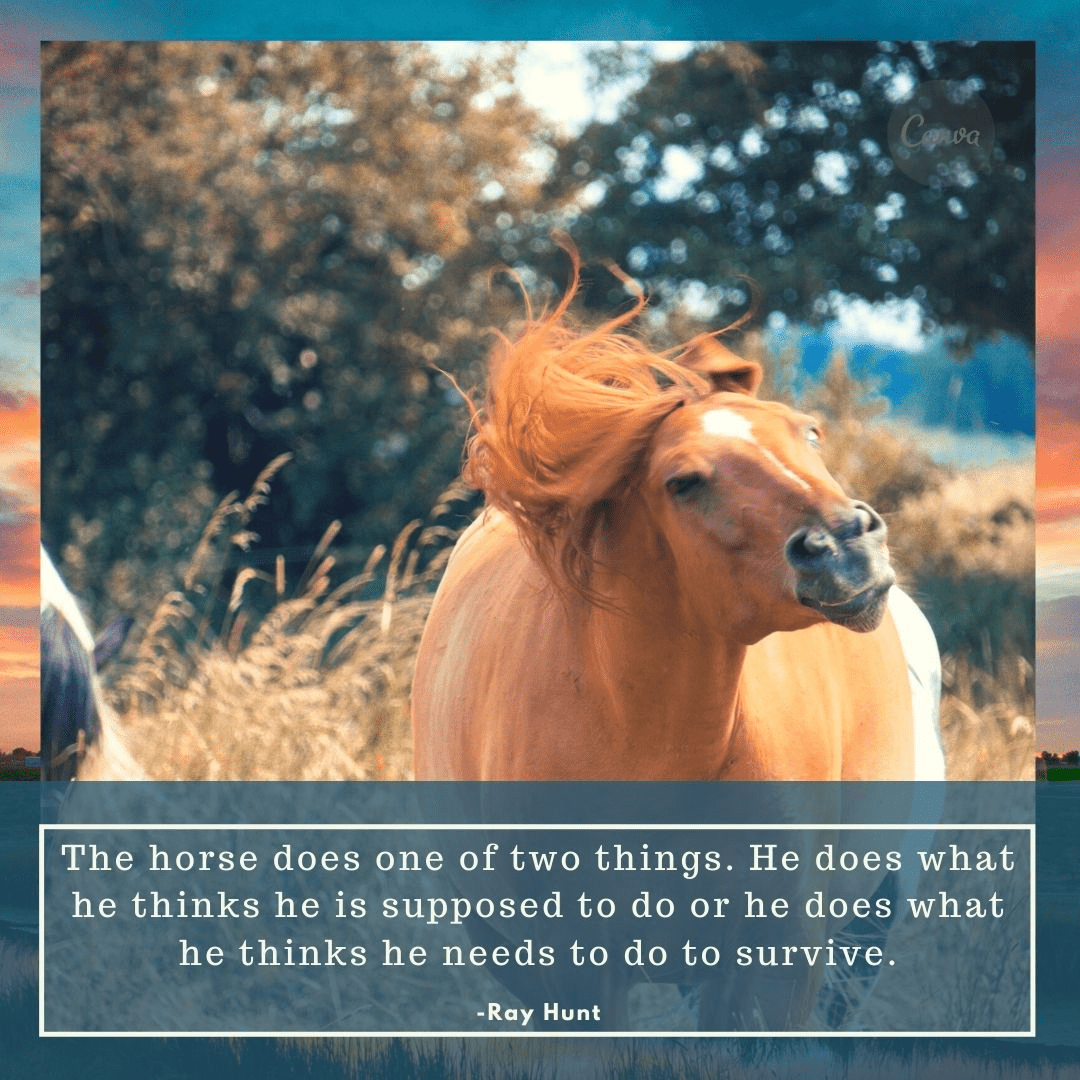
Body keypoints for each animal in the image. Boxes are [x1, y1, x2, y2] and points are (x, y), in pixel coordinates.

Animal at [411, 254, 944, 1029]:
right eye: (684, 482)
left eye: (809, 433)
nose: (846, 545)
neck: (653, 738)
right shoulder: (570, 972)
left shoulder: (776, 963)